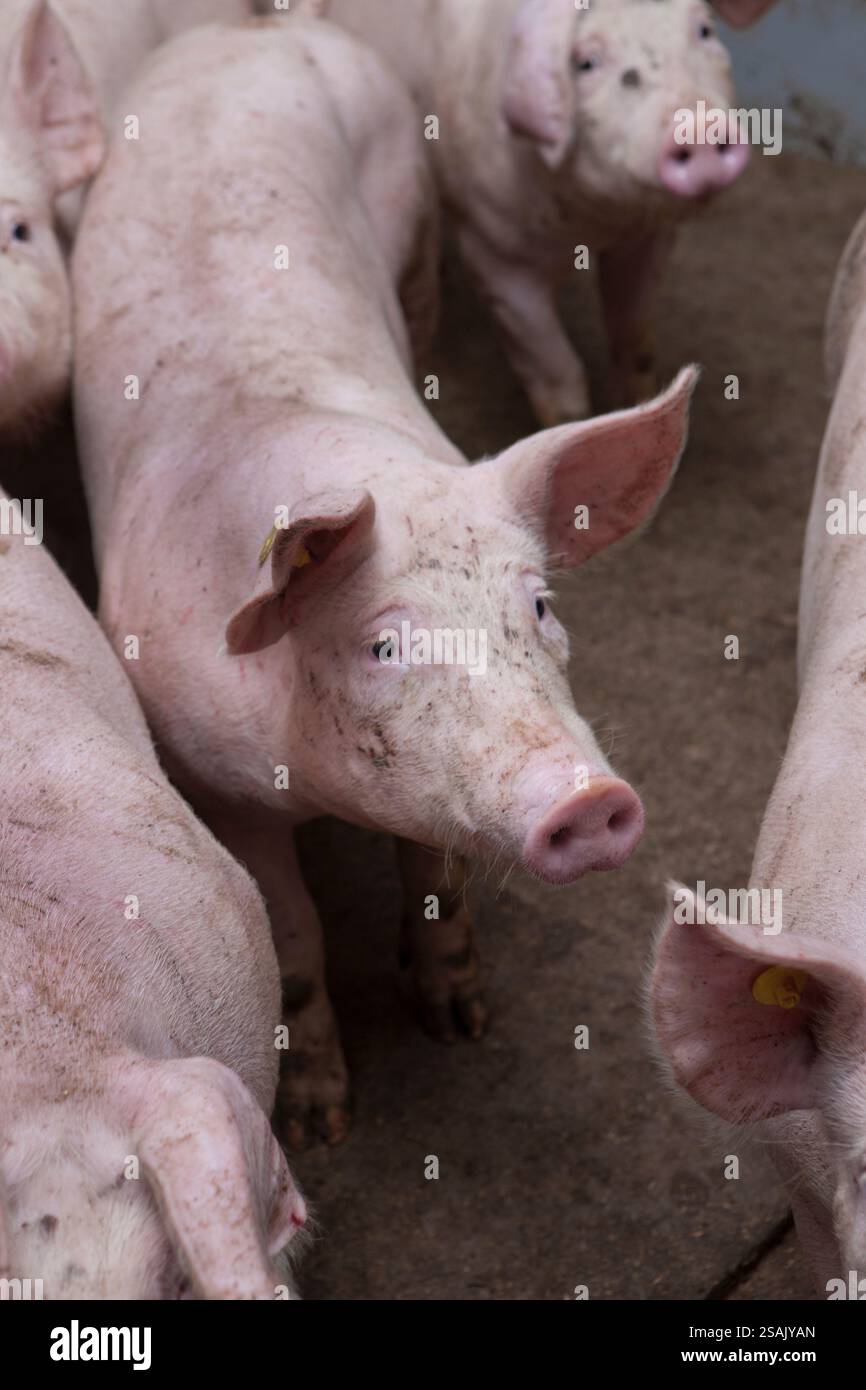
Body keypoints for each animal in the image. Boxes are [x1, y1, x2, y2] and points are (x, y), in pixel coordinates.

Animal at [72, 14, 697, 1149]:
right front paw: (325, 1123)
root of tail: (257, 24)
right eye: (384, 643)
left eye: (539, 605)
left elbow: (438, 881)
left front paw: (460, 1020)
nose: (587, 798)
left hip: (411, 219)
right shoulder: (214, 784)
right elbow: (295, 949)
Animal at [325, 0, 775, 425]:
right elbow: (556, 369)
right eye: (586, 62)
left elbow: (633, 334)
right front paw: (574, 422)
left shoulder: (649, 234)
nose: (698, 128)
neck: (592, 224)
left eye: (704, 29)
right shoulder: (493, 248)